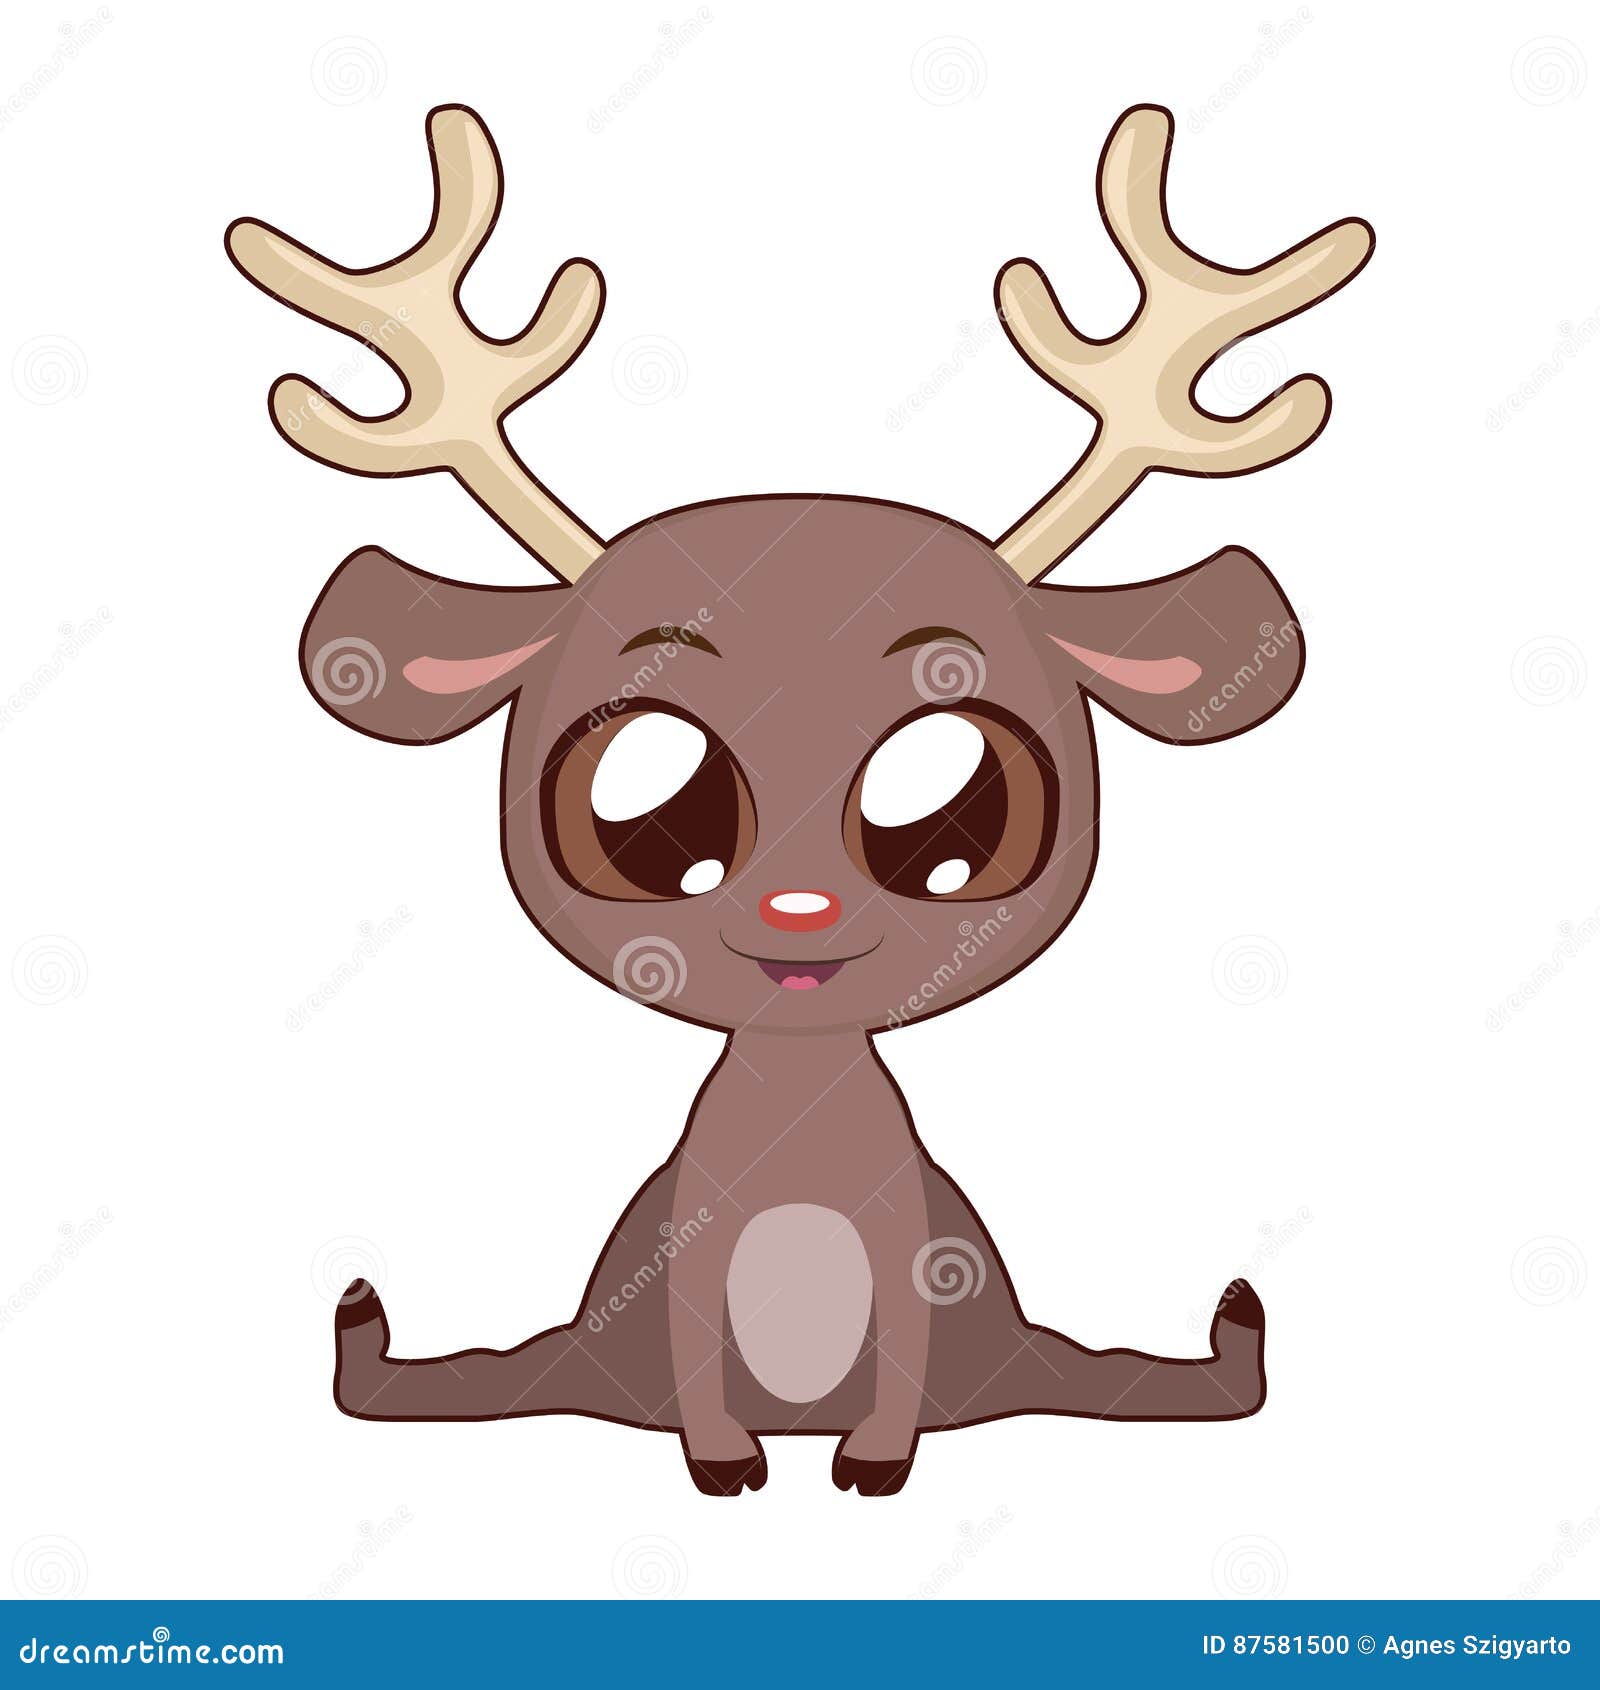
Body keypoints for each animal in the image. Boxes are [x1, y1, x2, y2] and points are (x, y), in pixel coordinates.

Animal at [226, 102, 1371, 1496]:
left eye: (961, 823)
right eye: (650, 817)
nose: (800, 915)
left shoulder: (913, 1263)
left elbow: (898, 1371)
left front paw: (874, 1462)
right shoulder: (687, 1264)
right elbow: (696, 1353)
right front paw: (724, 1462)